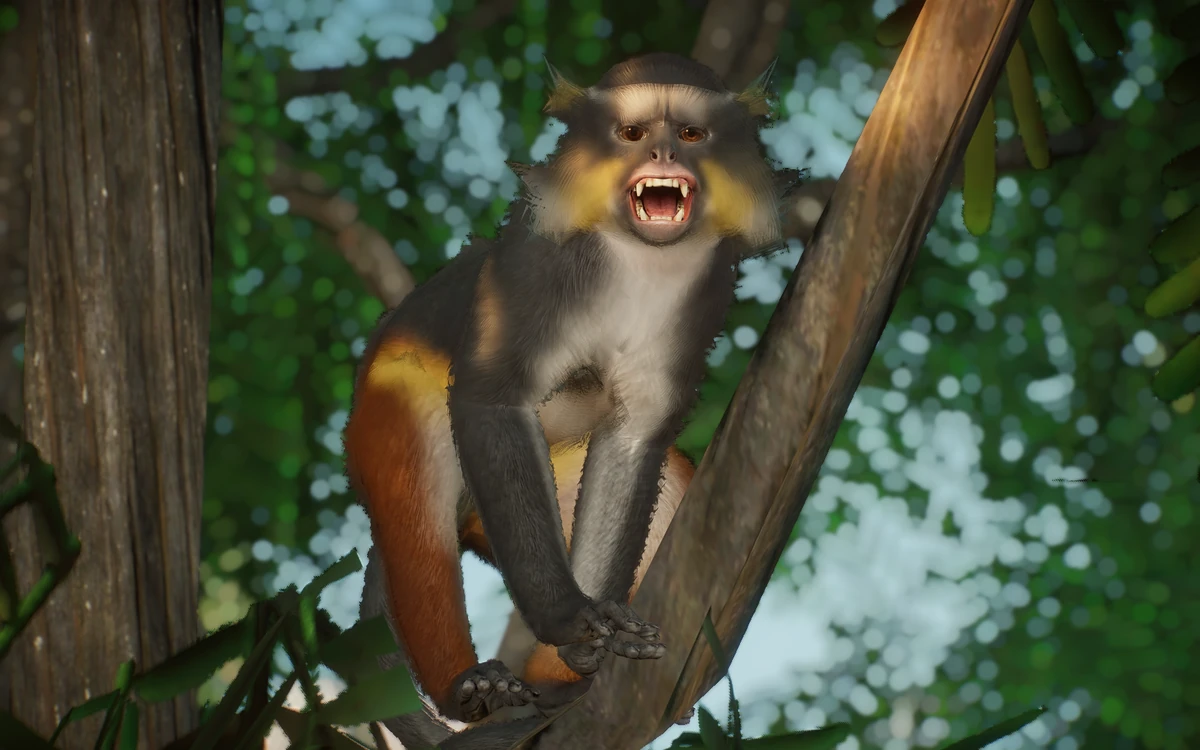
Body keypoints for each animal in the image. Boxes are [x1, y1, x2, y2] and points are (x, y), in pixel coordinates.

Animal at [344, 51, 801, 730]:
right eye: (634, 132)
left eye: (691, 133)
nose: (665, 152)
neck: (637, 259)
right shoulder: (537, 268)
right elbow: (493, 396)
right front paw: (567, 619)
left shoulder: (705, 289)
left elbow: (637, 435)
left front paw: (591, 644)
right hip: (387, 408)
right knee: (417, 523)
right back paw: (469, 686)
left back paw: (560, 680)